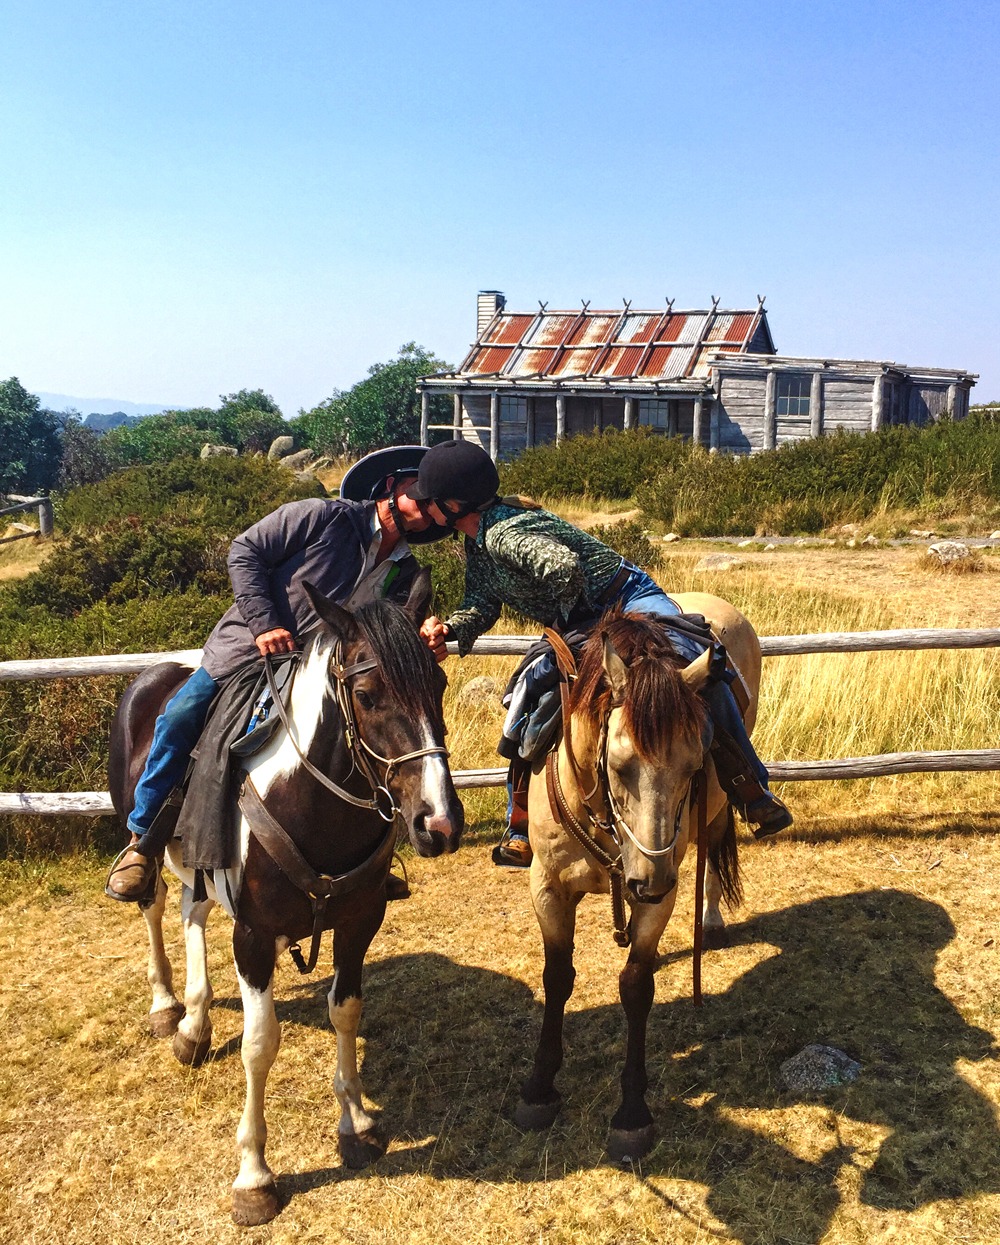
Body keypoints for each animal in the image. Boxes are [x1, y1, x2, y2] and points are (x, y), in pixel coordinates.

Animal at [108, 569, 464, 1225]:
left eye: (440, 683)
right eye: (367, 695)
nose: (440, 823)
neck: (308, 800)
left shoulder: (359, 920)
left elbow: (345, 1010)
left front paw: (356, 1124)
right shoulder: (252, 935)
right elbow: (259, 1044)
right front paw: (254, 1177)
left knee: (191, 911)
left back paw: (194, 1021)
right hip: (145, 832)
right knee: (153, 903)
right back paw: (167, 1003)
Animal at [515, 592, 758, 1161]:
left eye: (694, 764)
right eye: (621, 765)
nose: (648, 880)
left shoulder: (658, 897)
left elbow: (636, 985)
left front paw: (631, 1113)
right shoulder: (547, 888)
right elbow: (557, 977)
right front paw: (539, 1088)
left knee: (713, 848)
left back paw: (711, 921)